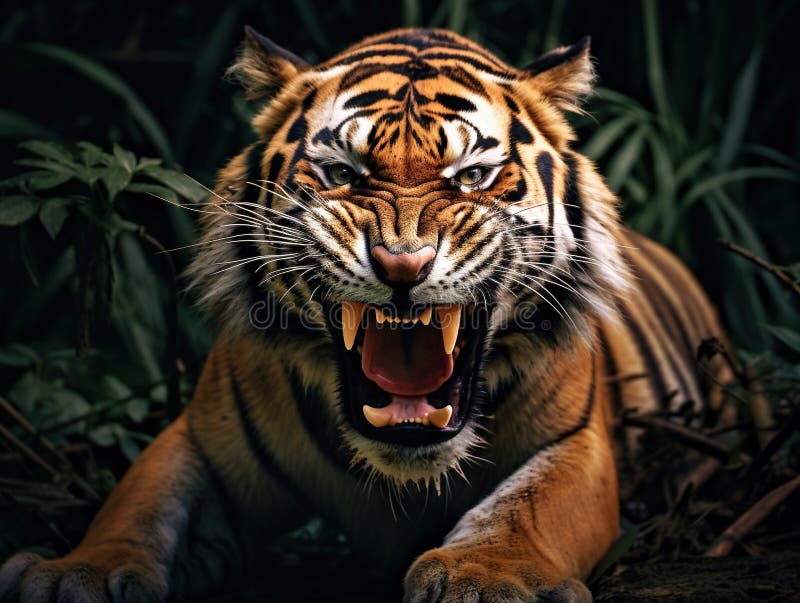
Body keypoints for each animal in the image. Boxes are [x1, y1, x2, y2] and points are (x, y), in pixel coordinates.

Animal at [0, 27, 731, 603]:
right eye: (341, 172)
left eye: (472, 176)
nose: (402, 265)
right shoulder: (199, 440)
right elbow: (137, 502)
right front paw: (75, 574)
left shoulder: (576, 444)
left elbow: (527, 509)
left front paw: (489, 577)